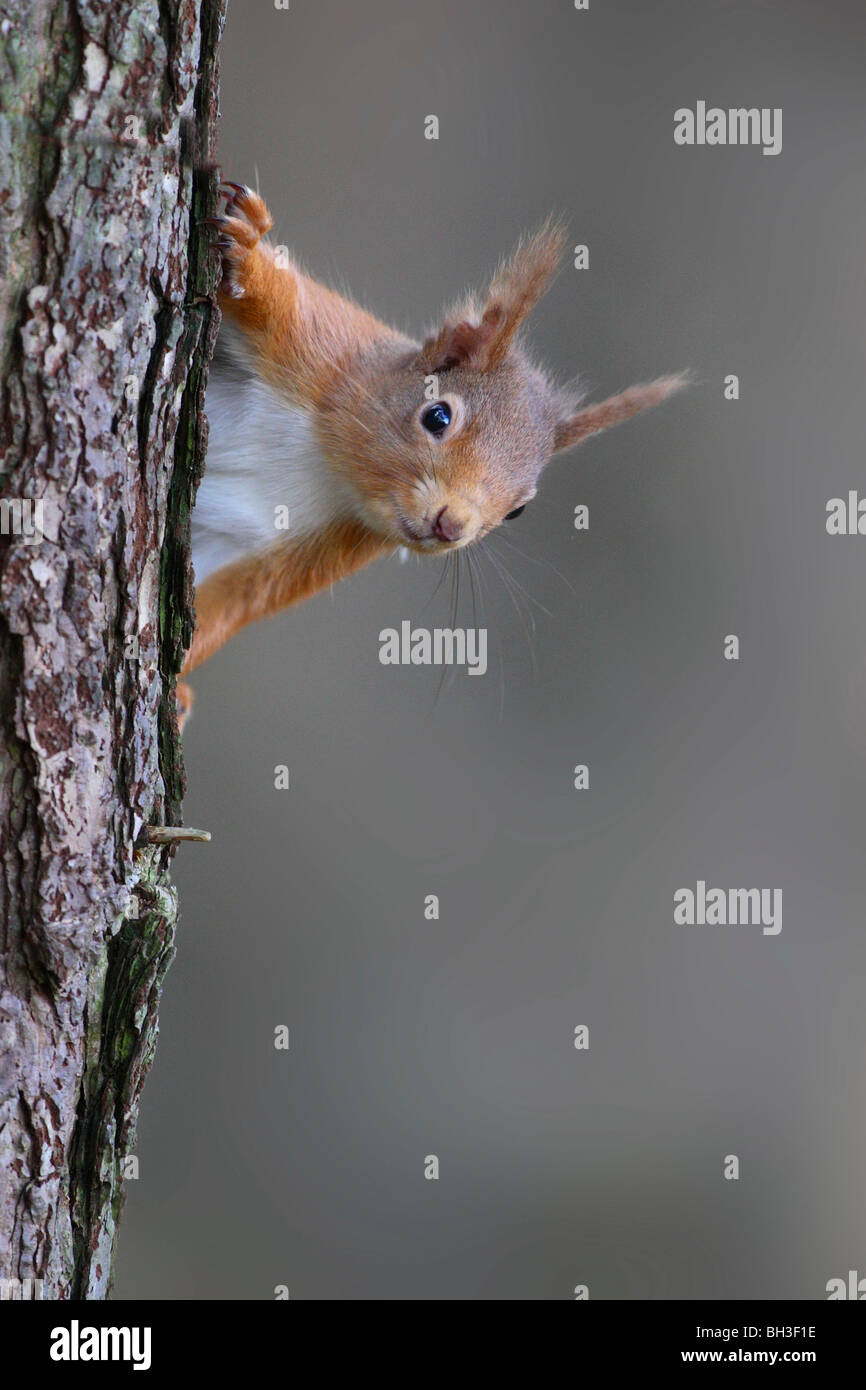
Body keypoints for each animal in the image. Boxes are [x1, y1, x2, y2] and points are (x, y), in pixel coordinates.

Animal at [179, 182, 686, 721]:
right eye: (437, 416)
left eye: (519, 511)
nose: (452, 525)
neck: (328, 465)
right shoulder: (321, 346)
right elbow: (277, 305)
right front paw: (249, 252)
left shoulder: (313, 551)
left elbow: (230, 606)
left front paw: (178, 683)